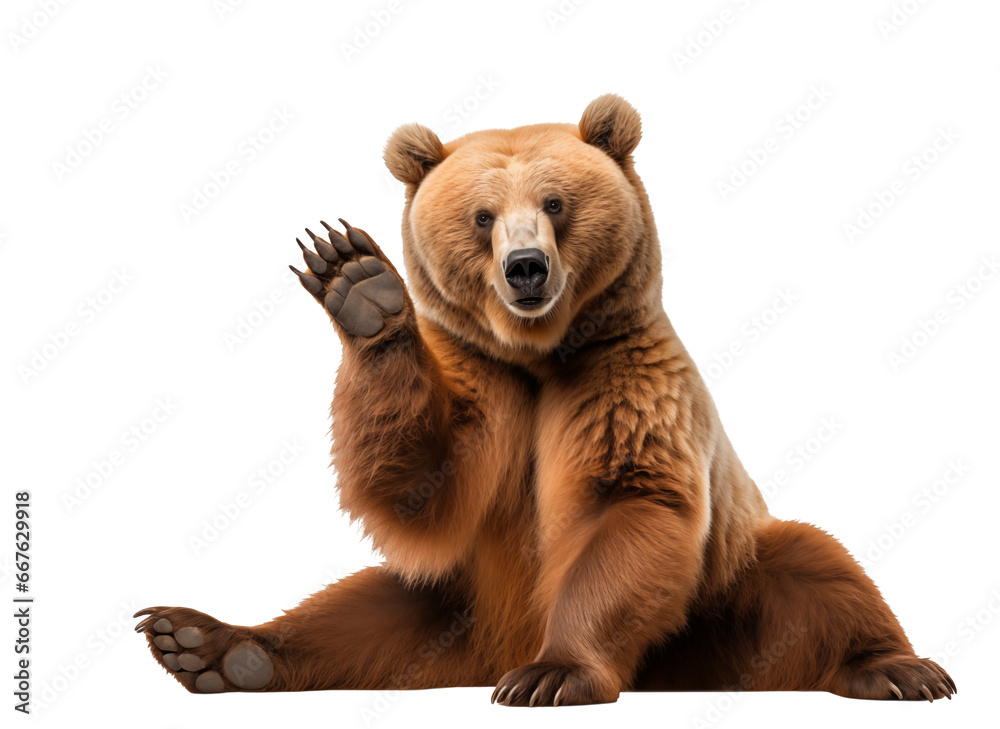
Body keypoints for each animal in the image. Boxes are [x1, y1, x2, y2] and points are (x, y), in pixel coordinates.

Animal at [136, 94, 955, 705]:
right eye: (482, 216)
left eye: (556, 202)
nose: (526, 267)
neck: (537, 356)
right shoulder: (484, 387)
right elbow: (419, 490)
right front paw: (357, 281)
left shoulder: (622, 378)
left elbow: (631, 504)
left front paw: (552, 673)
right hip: (458, 603)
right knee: (355, 610)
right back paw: (210, 645)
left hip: (729, 578)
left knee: (822, 571)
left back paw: (899, 668)